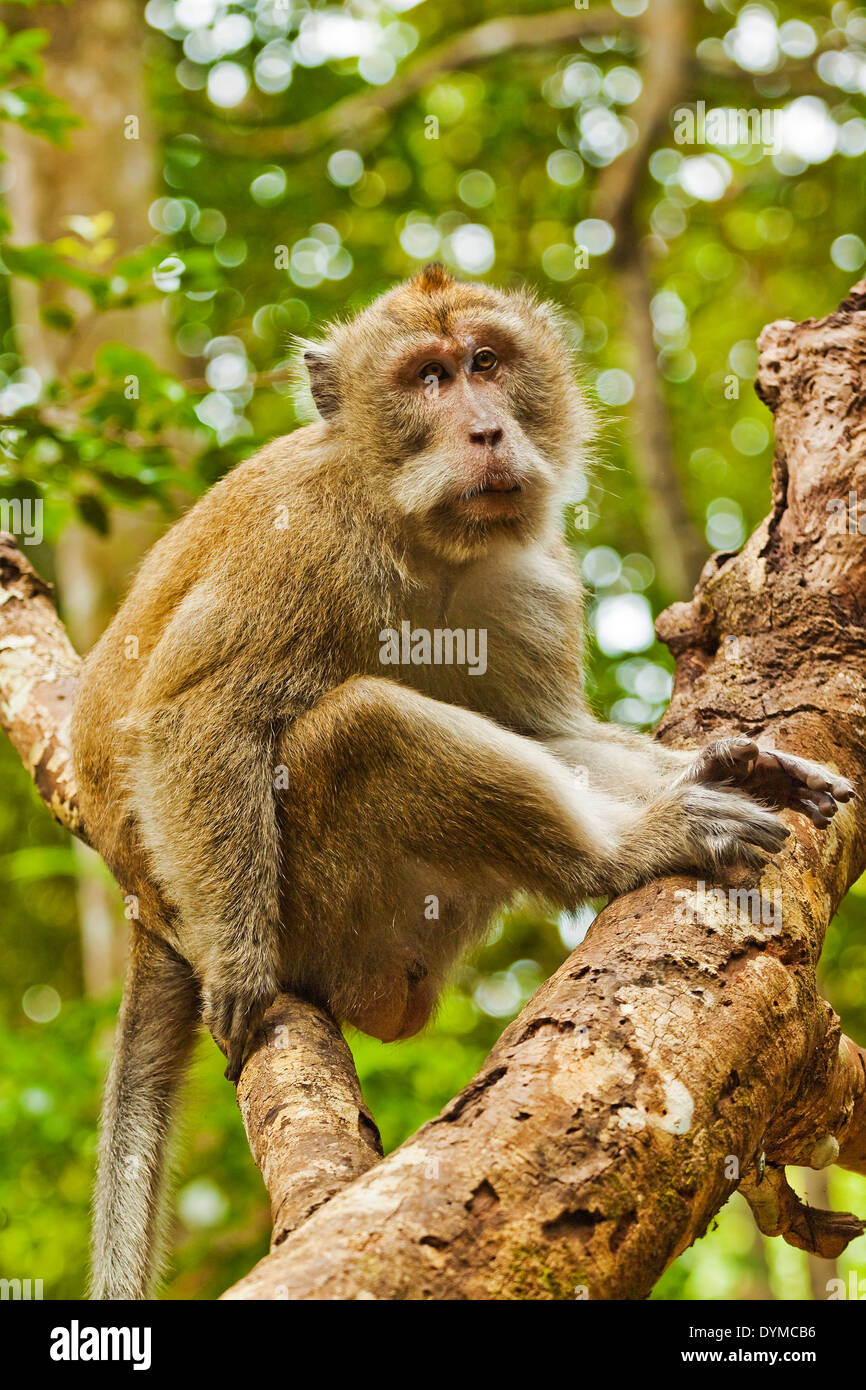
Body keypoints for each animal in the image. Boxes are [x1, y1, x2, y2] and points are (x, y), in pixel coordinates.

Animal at [71, 263, 854, 1298]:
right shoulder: (298, 543)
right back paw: (628, 850)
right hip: (321, 913)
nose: (485, 430)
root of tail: (148, 908)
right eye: (429, 378)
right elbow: (196, 716)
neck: (422, 537)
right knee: (363, 728)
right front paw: (239, 971)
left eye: (486, 362)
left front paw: (743, 760)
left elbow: (549, 730)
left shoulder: (531, 574)